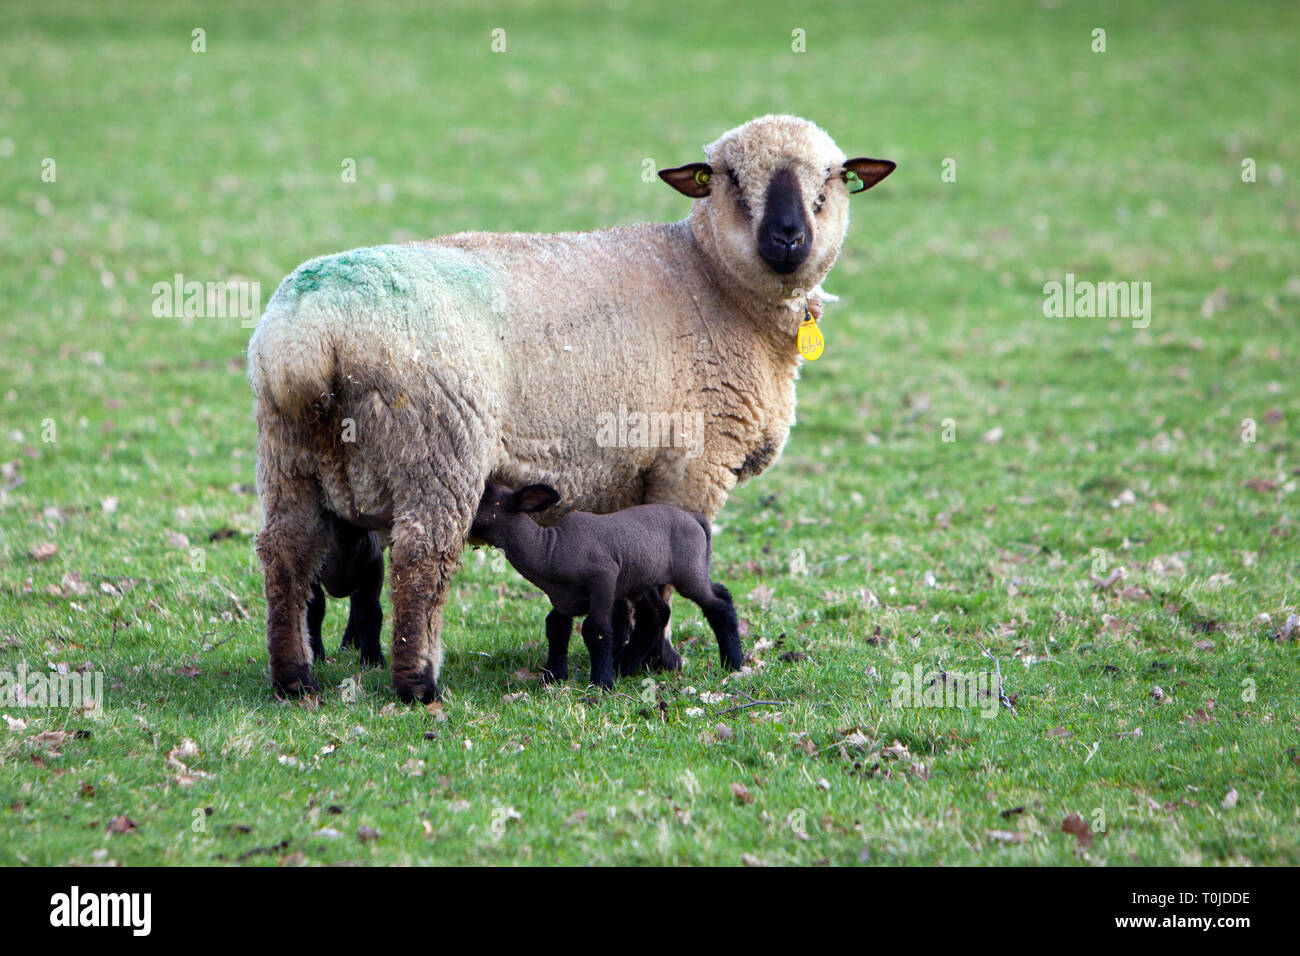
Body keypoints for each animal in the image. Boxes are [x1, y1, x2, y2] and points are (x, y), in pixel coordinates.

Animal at [470, 481, 741, 689]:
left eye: (484, 496)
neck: (549, 548)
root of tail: (694, 518)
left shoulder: (604, 577)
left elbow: (596, 630)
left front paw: (601, 683)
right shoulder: (562, 597)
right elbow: (556, 627)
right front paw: (553, 677)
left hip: (688, 571)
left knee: (717, 605)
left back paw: (733, 663)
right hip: (643, 576)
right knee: (659, 614)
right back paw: (622, 666)